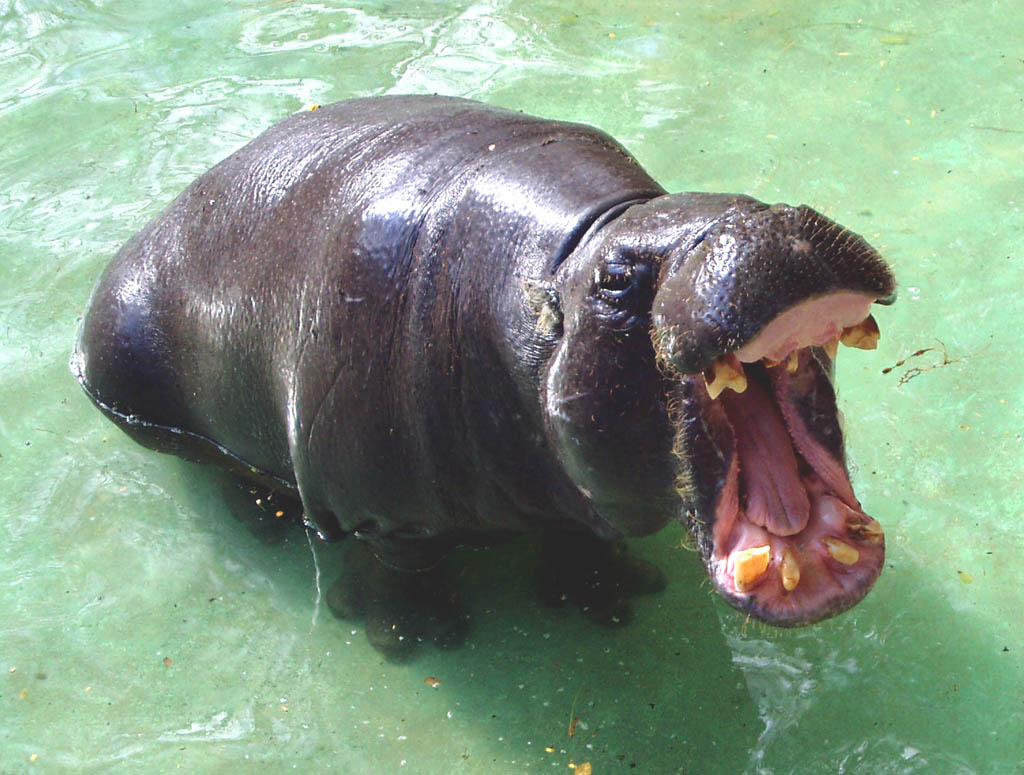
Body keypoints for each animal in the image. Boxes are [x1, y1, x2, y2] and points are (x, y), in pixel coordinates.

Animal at [72, 96, 895, 657]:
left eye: (751, 197)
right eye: (617, 280)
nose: (764, 223)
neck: (569, 254)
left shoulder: (574, 490)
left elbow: (583, 534)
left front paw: (610, 596)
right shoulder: (384, 514)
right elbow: (406, 568)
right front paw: (415, 636)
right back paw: (261, 519)